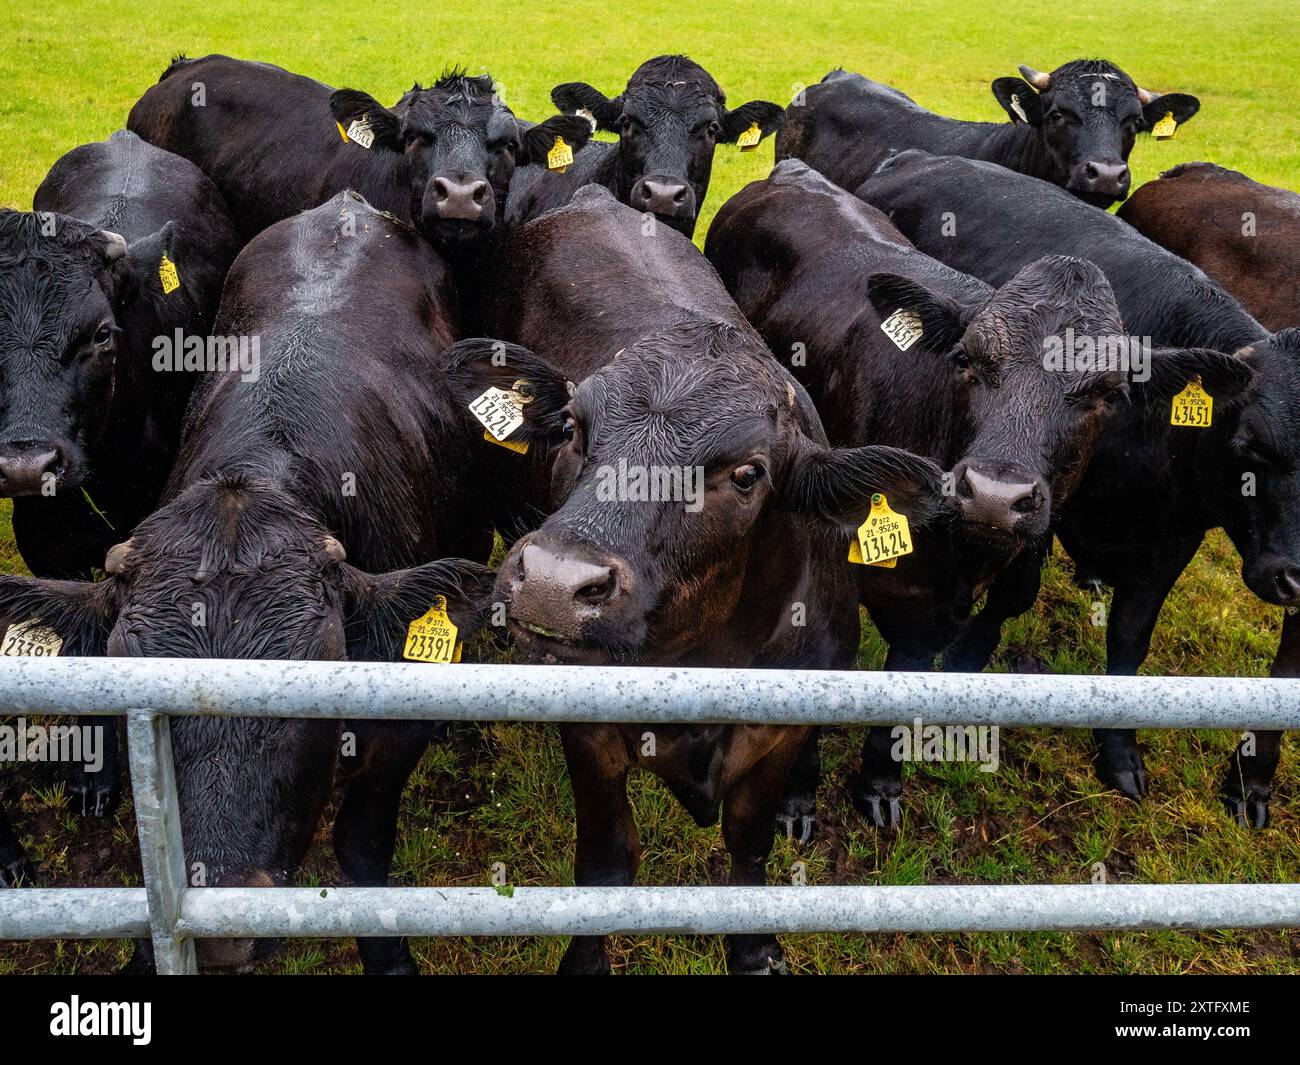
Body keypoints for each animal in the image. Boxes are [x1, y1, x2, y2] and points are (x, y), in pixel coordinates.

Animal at [447, 184, 949, 974]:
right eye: (573, 429)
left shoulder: (775, 737)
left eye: (746, 474)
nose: (555, 581)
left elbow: (749, 847)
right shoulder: (587, 728)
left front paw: (754, 948)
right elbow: (606, 863)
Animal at [705, 159, 1222, 827]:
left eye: (1106, 393)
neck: (956, 557)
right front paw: (796, 797)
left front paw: (880, 782)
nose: (996, 496)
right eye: (966, 360)